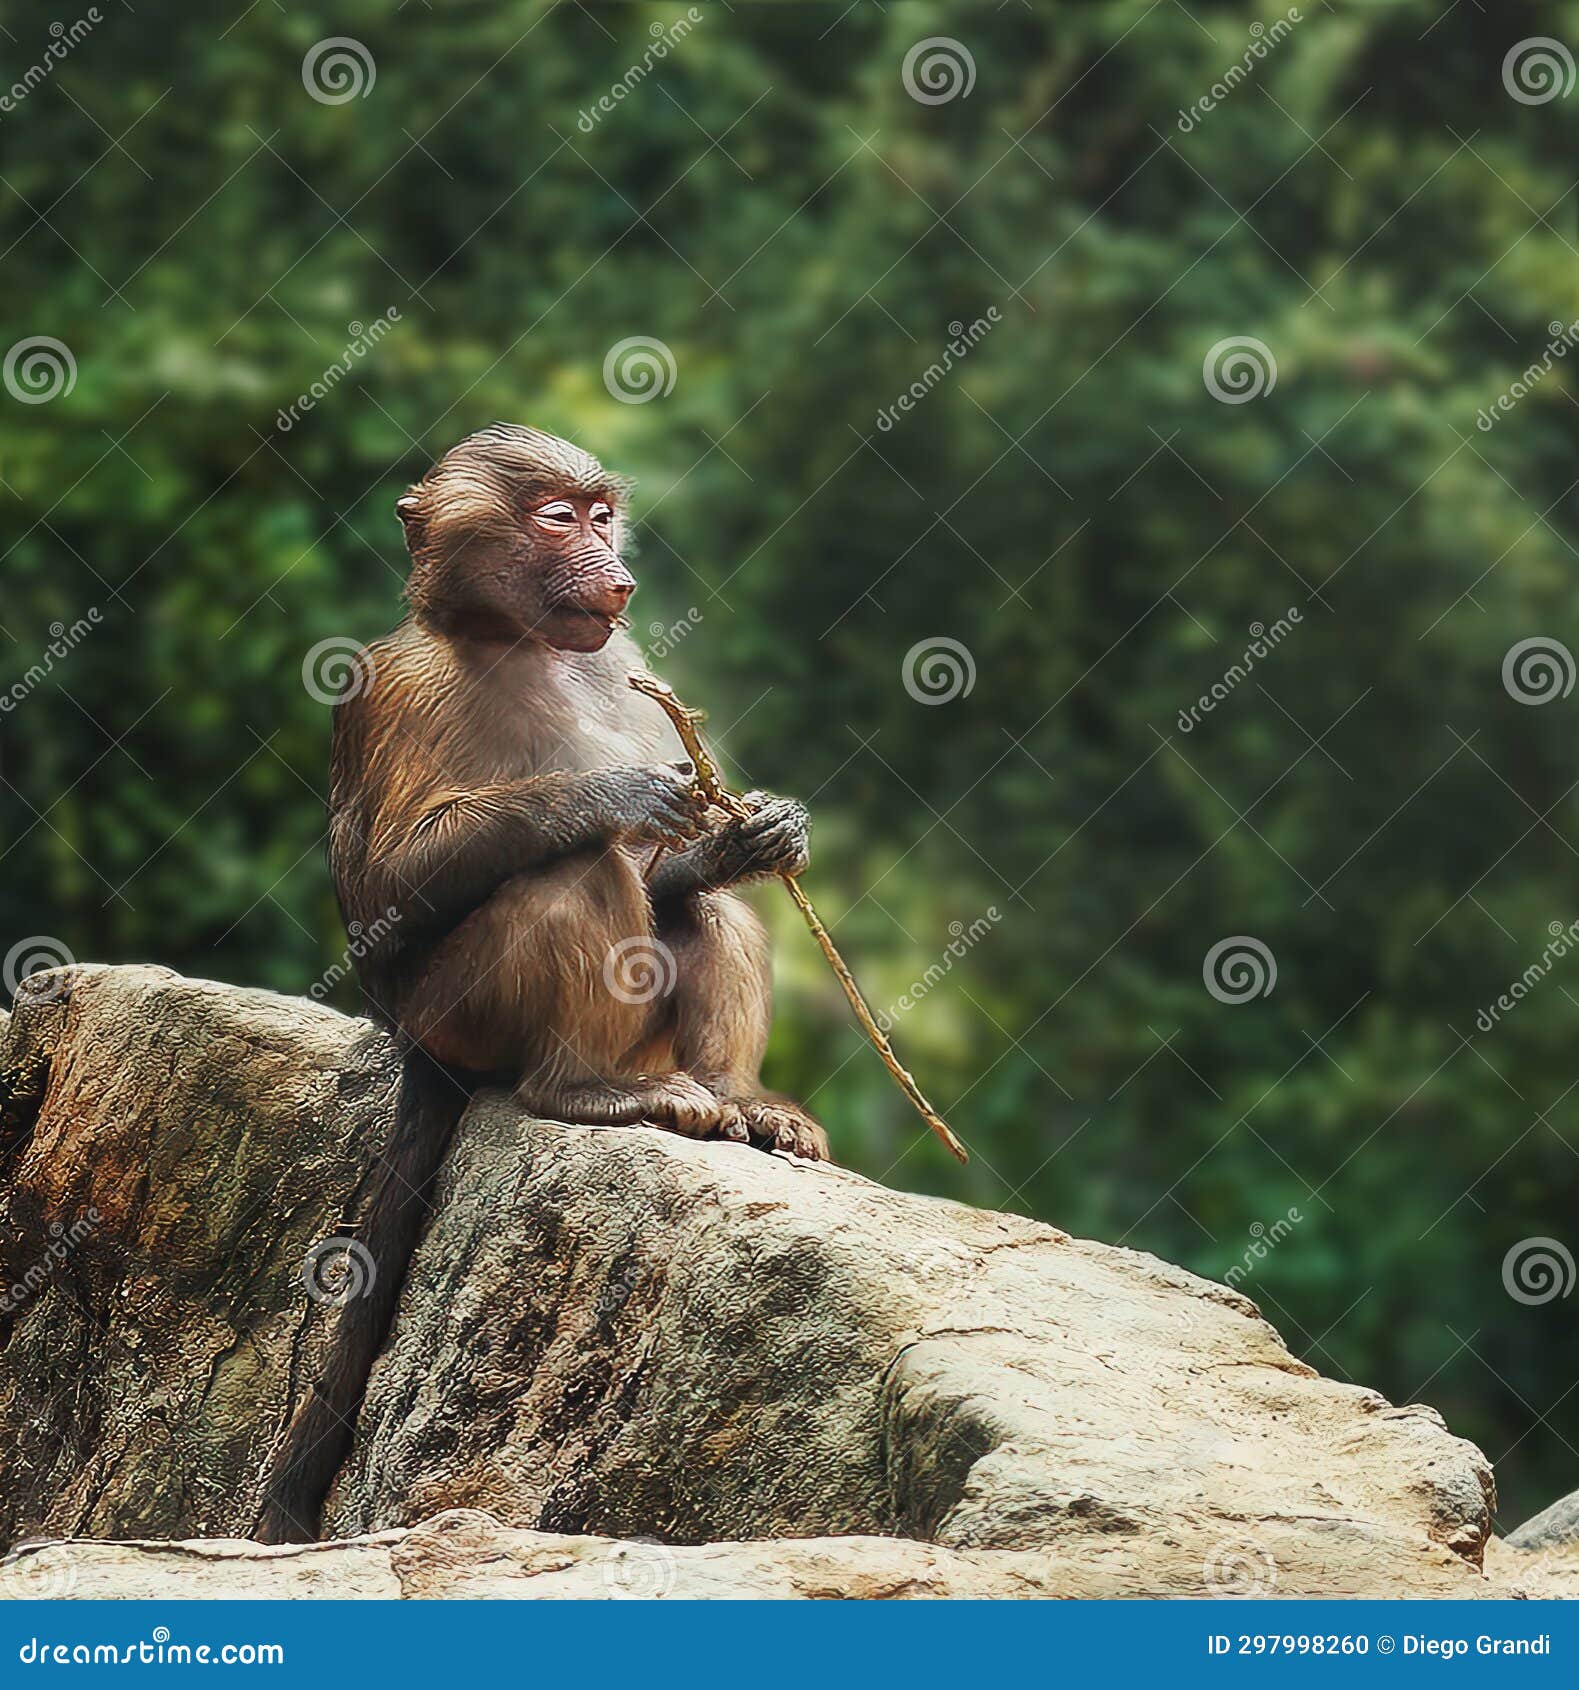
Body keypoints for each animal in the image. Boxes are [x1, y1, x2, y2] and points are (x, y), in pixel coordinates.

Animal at [327, 422, 831, 1163]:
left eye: (603, 518)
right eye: (559, 518)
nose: (621, 581)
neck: (518, 640)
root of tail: (420, 1052)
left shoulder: (619, 660)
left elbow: (671, 876)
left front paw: (761, 833)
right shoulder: (401, 682)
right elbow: (384, 886)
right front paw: (614, 796)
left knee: (703, 908)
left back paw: (738, 1099)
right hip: (453, 1020)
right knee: (576, 872)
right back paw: (580, 1090)